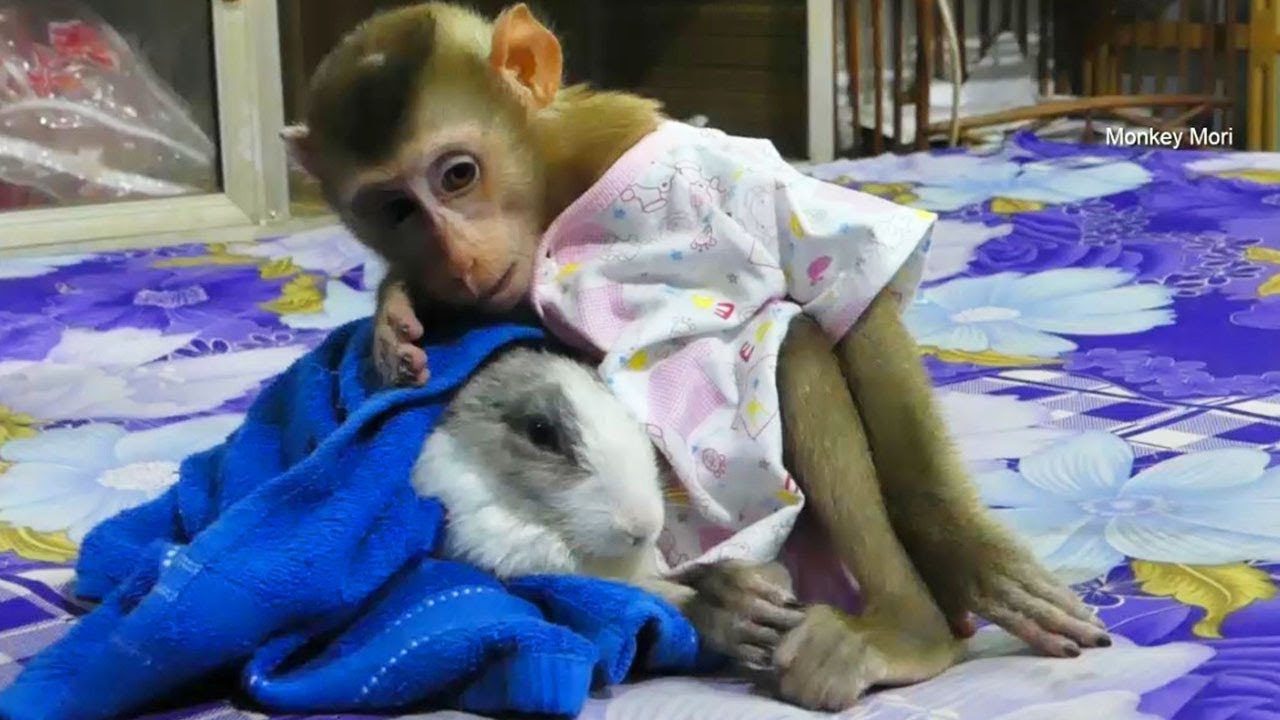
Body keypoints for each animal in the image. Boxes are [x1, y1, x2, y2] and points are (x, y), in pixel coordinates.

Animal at [281, 3, 1111, 711]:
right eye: (395, 209)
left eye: (459, 174)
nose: (454, 256)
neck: (552, 197)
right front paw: (394, 313)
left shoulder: (651, 148)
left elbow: (845, 300)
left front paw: (972, 559)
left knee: (795, 343)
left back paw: (906, 628)